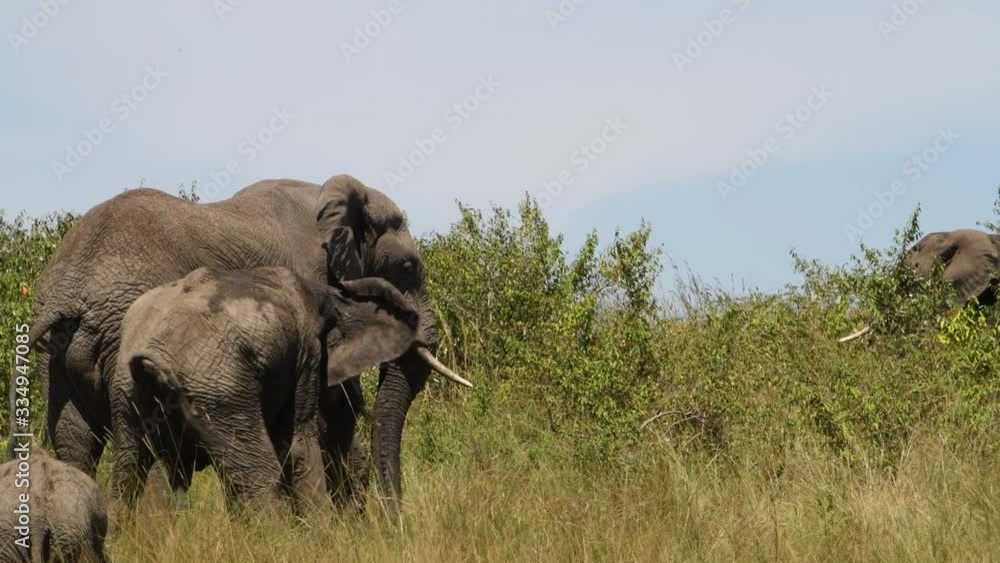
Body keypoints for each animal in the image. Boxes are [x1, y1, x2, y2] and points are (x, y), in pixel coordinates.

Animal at [111, 267, 422, 514]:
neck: (324, 292)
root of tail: (153, 354)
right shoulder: (307, 352)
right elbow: (299, 442)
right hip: (222, 391)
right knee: (258, 472)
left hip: (127, 393)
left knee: (130, 473)